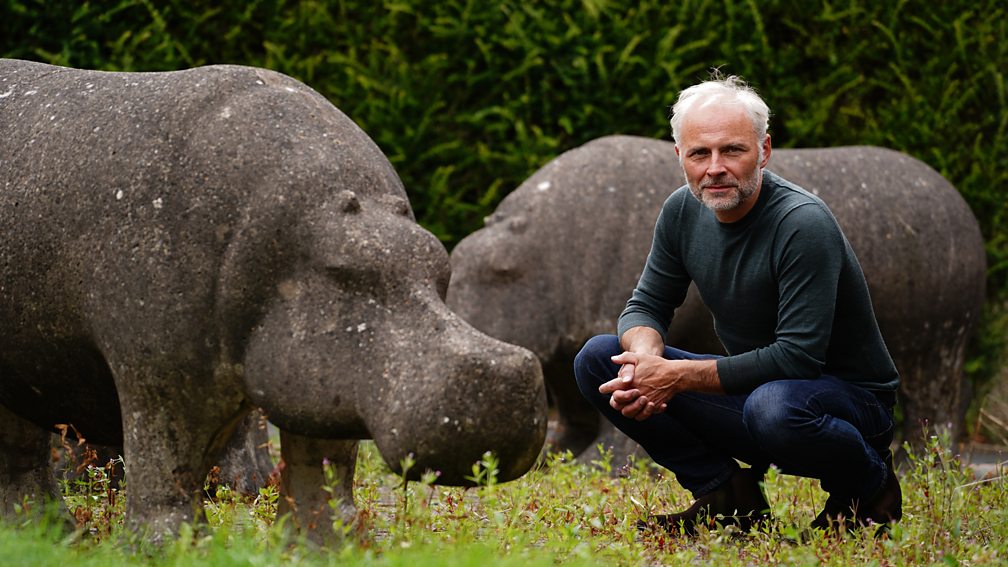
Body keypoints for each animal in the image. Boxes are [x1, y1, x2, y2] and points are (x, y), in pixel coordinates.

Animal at [0, 59, 547, 538]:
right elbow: (165, 468)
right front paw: (171, 549)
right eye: (348, 272)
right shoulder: (156, 372)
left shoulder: (327, 385)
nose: (503, 367)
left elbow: (324, 473)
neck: (296, 241)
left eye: (437, 262)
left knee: (20, 457)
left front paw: (333, 546)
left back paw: (43, 534)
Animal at [447, 135, 985, 463]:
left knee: (936, 405)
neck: (542, 250)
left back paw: (924, 468)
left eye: (499, 270)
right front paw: (560, 458)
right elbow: (575, 407)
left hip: (940, 344)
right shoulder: (561, 343)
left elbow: (613, 424)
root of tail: (960, 204)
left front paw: (598, 468)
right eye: (456, 257)